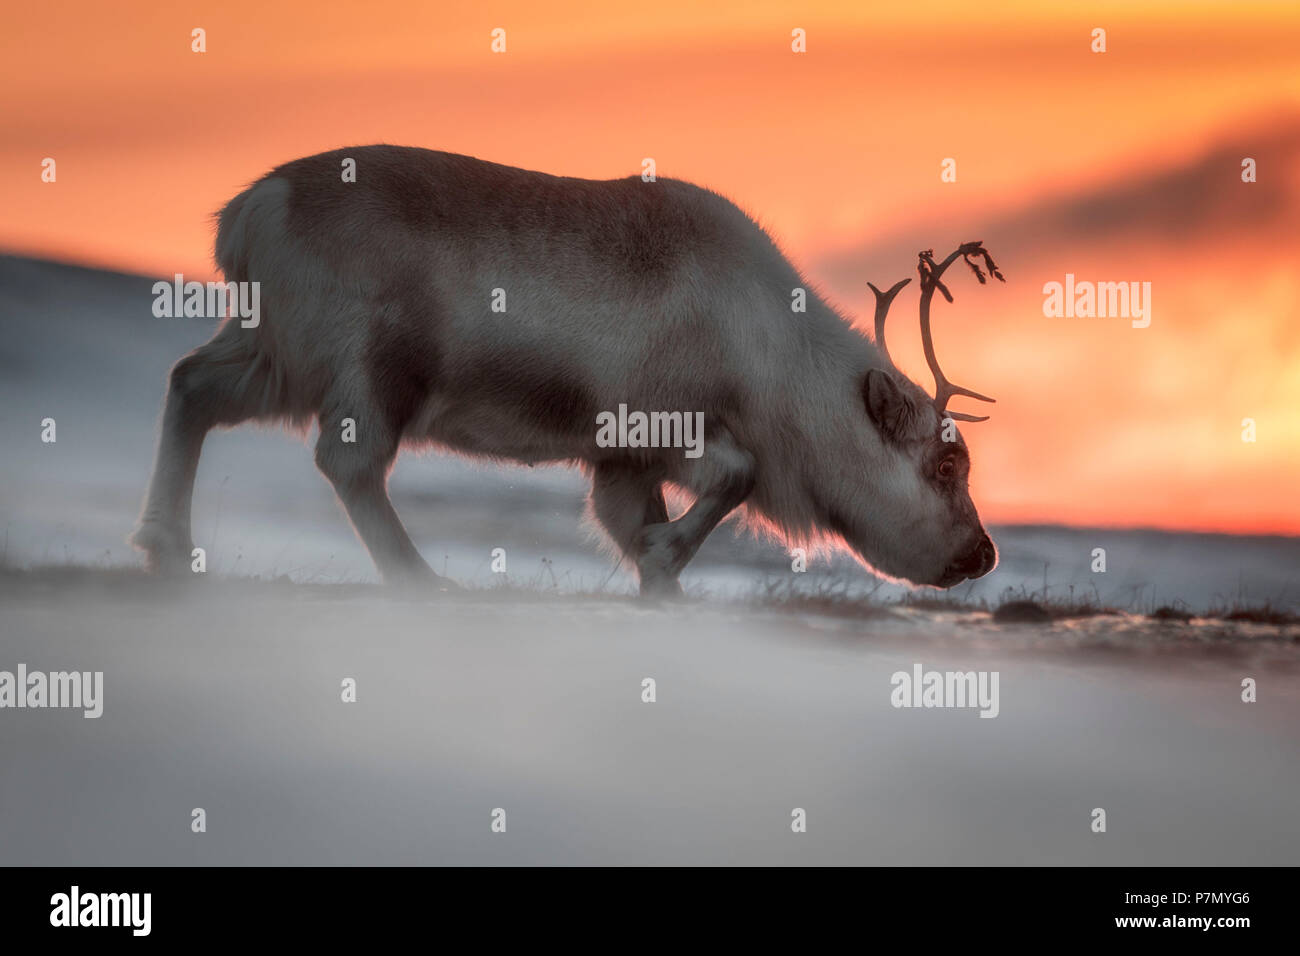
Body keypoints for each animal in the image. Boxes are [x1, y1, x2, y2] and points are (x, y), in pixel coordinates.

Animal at [132, 146, 1000, 596]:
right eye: (944, 465)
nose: (982, 554)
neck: (780, 369)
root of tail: (249, 211)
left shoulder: (618, 462)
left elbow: (630, 520)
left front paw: (662, 584)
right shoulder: (658, 421)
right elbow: (734, 476)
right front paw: (662, 556)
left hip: (274, 352)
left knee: (189, 383)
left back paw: (166, 543)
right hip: (373, 365)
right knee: (348, 462)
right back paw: (421, 579)